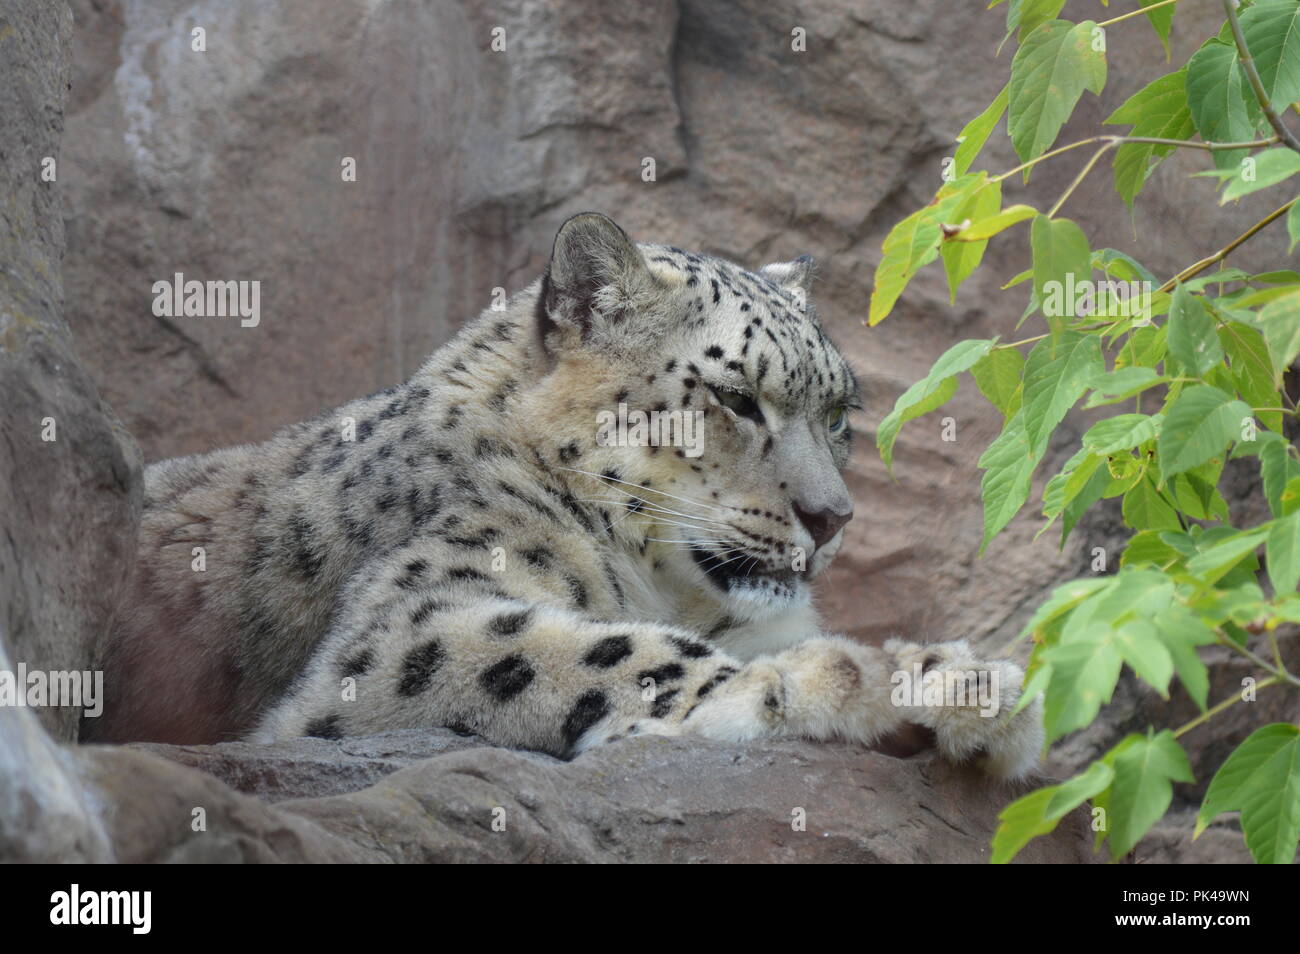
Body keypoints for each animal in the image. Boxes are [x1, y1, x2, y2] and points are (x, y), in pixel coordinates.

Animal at [87, 212, 1043, 779]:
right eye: (737, 397)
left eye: (841, 412)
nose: (833, 517)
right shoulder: (405, 629)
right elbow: (604, 650)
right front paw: (876, 681)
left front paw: (967, 679)